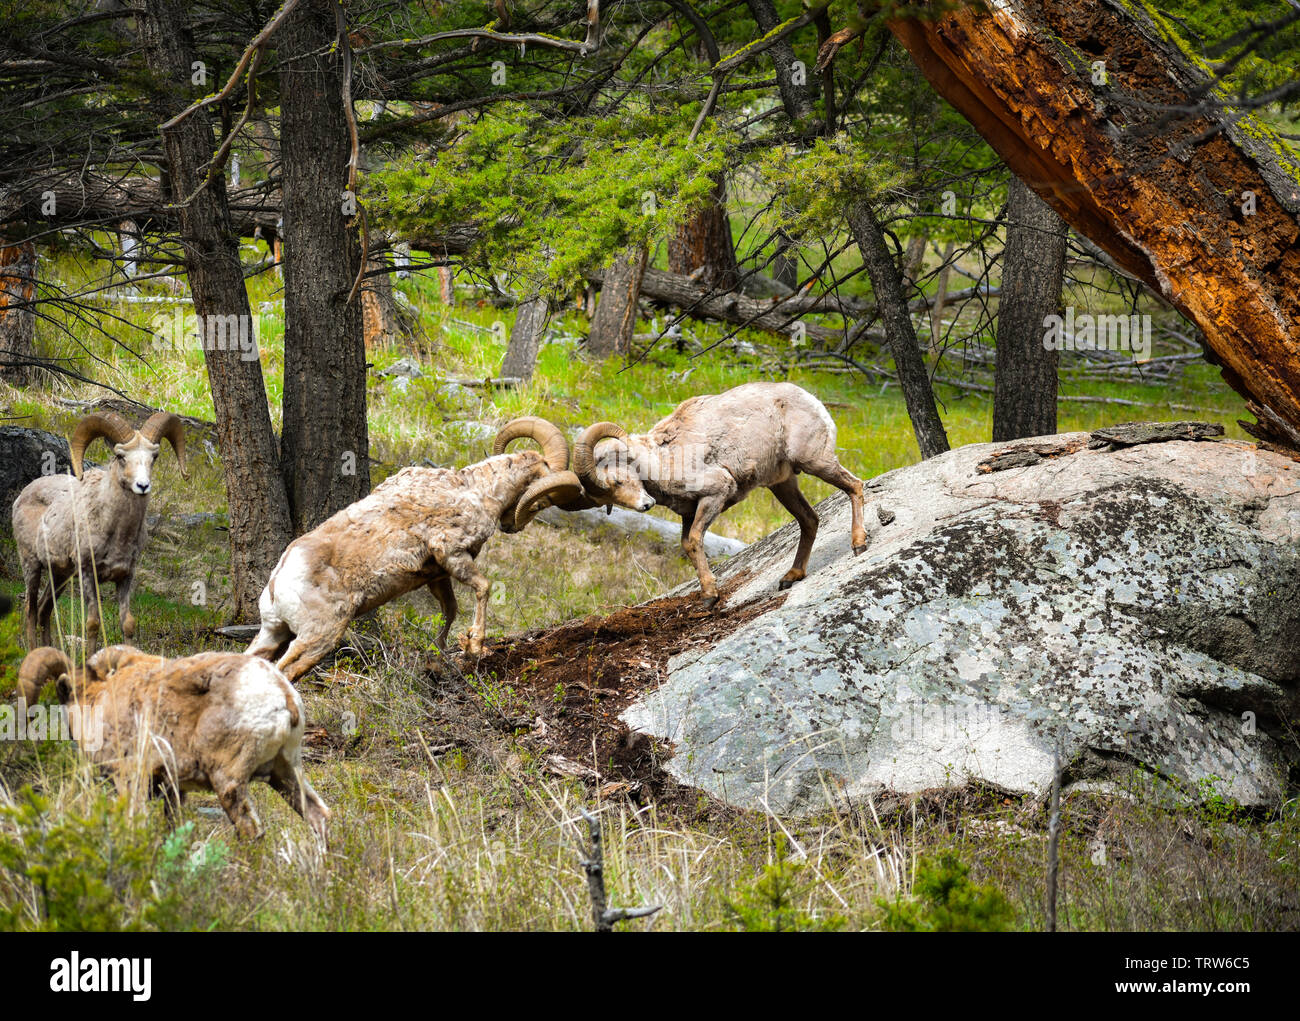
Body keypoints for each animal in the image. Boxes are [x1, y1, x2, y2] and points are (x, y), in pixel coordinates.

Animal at [12, 411, 188, 653]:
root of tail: (22, 495)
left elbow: (128, 623)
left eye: (155, 457)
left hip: (60, 575)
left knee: (43, 610)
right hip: (31, 564)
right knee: (30, 609)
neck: (117, 533)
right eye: (121, 456)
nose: (143, 486)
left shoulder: (126, 576)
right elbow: (93, 623)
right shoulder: (88, 572)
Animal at [16, 644, 329, 841]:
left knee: (250, 830)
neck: (97, 703)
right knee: (318, 816)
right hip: (285, 772)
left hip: (229, 781)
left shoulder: (130, 778)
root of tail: (283, 695)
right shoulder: (173, 790)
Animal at [245, 417, 586, 680]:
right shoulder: (451, 552)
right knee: (286, 671)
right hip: (317, 637)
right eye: (542, 501)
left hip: (272, 633)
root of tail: (278, 583)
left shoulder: (437, 575)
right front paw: (474, 644)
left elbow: (450, 610)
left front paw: (438, 656)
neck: (475, 491)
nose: (511, 527)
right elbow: (484, 587)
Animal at [558, 382, 875, 606]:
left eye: (617, 480)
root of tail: (815, 402)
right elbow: (688, 545)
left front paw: (710, 596)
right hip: (783, 484)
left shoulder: (715, 495)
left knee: (855, 486)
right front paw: (708, 595)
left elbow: (695, 541)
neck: (663, 458)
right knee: (810, 520)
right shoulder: (688, 513)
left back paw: (859, 544)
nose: (646, 505)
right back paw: (790, 578)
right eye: (605, 499)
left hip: (815, 462)